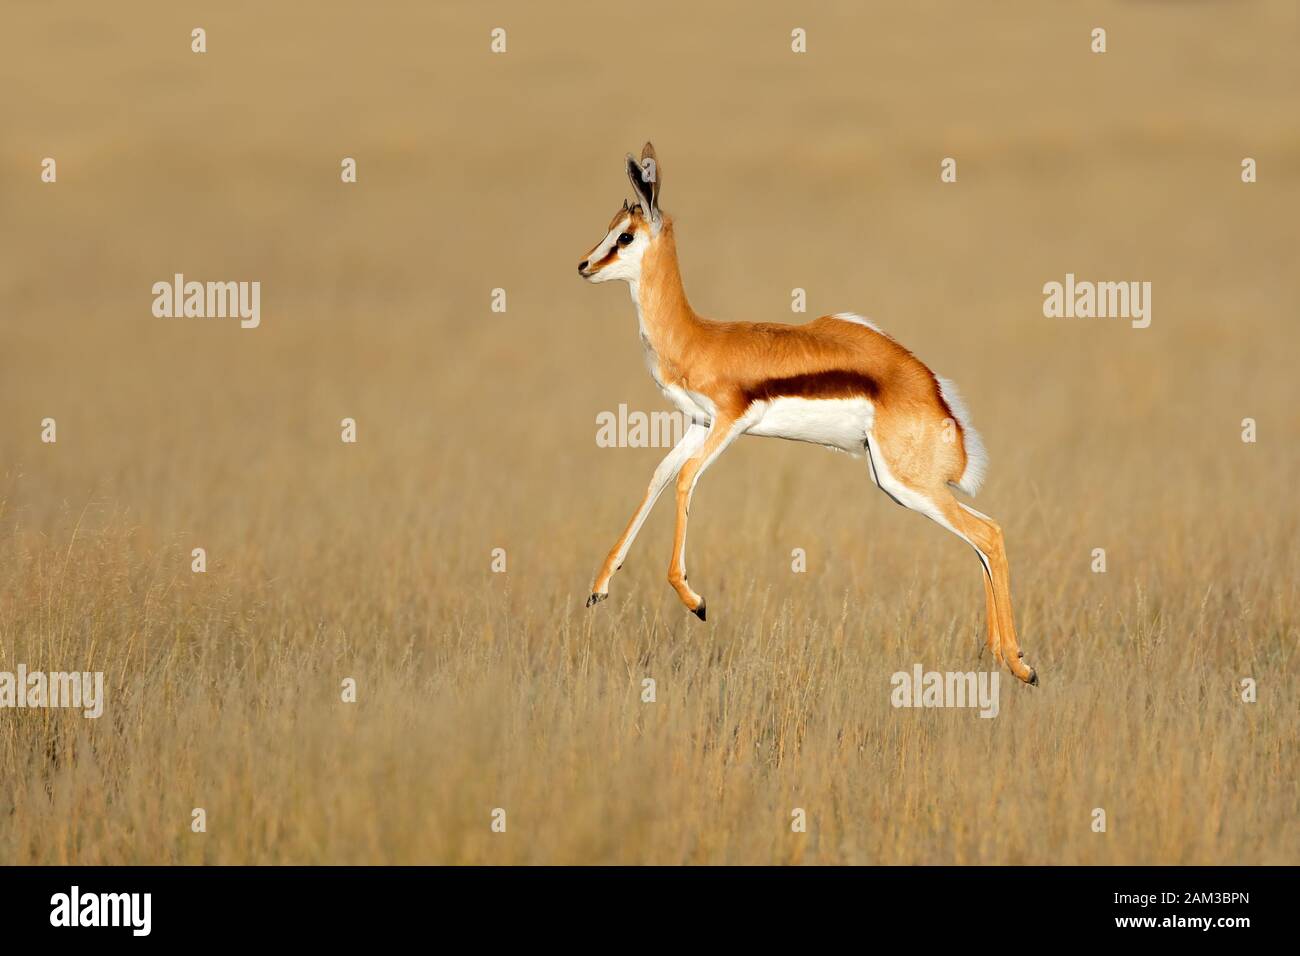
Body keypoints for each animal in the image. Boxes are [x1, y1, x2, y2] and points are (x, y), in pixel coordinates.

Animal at [577, 143, 1037, 685]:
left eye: (625, 236)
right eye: (609, 227)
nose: (583, 265)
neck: (695, 338)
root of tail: (937, 399)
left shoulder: (729, 423)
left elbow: (687, 478)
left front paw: (695, 601)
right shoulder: (698, 424)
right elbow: (659, 477)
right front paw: (599, 587)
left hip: (906, 483)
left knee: (989, 534)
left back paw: (1022, 665)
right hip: (900, 485)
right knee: (982, 539)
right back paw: (1009, 658)